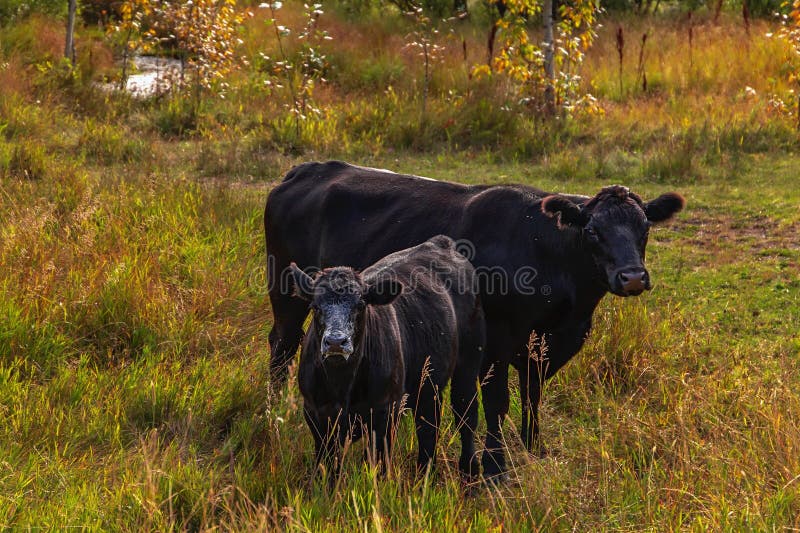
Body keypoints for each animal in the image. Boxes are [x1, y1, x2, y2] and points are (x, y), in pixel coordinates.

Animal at [289, 235, 486, 482]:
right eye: (315, 306)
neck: (341, 386)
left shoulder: (385, 411)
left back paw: (470, 472)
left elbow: (377, 465)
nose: (336, 341)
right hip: (428, 385)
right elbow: (327, 466)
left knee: (465, 413)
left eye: (361, 305)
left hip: (469, 363)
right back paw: (424, 475)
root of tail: (440, 243)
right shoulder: (316, 414)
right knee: (428, 426)